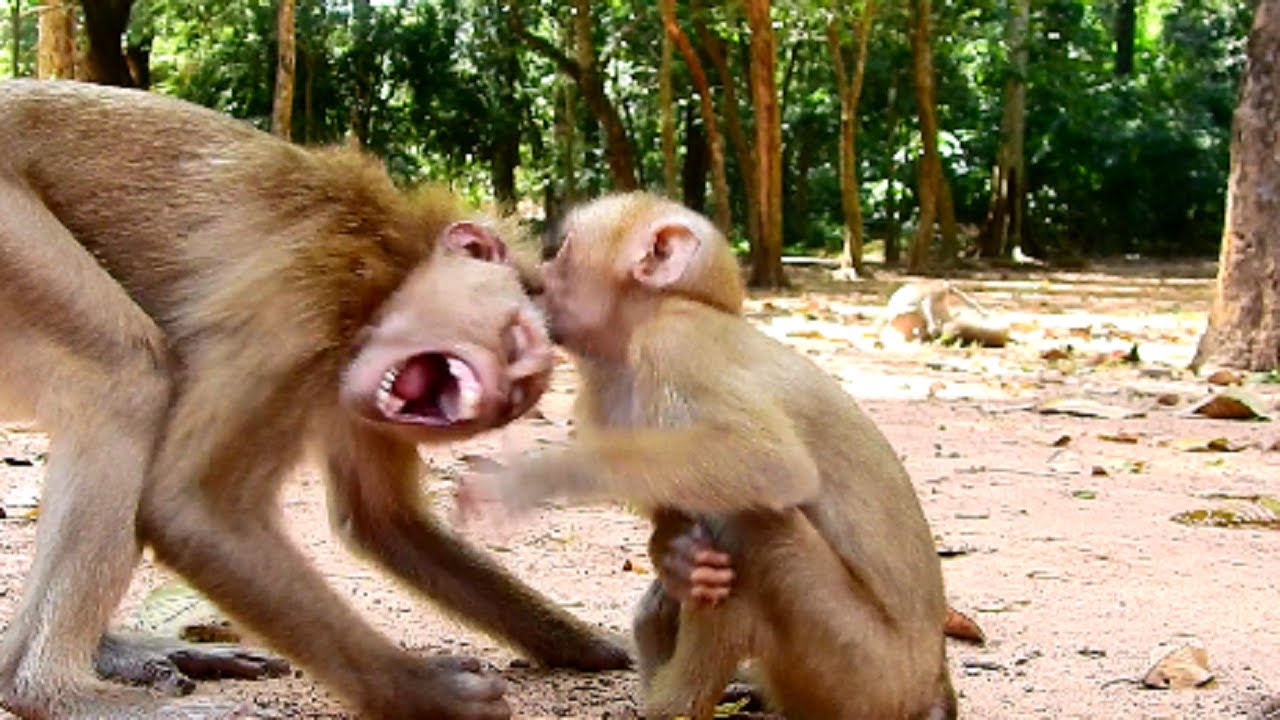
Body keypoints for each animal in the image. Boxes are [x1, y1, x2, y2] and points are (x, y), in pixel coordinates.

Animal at [0, 79, 627, 720]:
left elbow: (384, 521)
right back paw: (48, 690)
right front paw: (423, 691)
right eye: (517, 341)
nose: (501, 396)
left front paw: (588, 642)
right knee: (126, 376)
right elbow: (192, 510)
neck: (387, 270)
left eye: (517, 401)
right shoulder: (305, 300)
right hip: (10, 232)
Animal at [458, 192, 957, 719]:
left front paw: (534, 476)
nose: (536, 276)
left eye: (561, 251)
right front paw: (672, 555)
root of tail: (932, 680)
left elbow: (770, 462)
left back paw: (671, 706)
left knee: (752, 527)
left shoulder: (674, 343)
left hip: (867, 674)